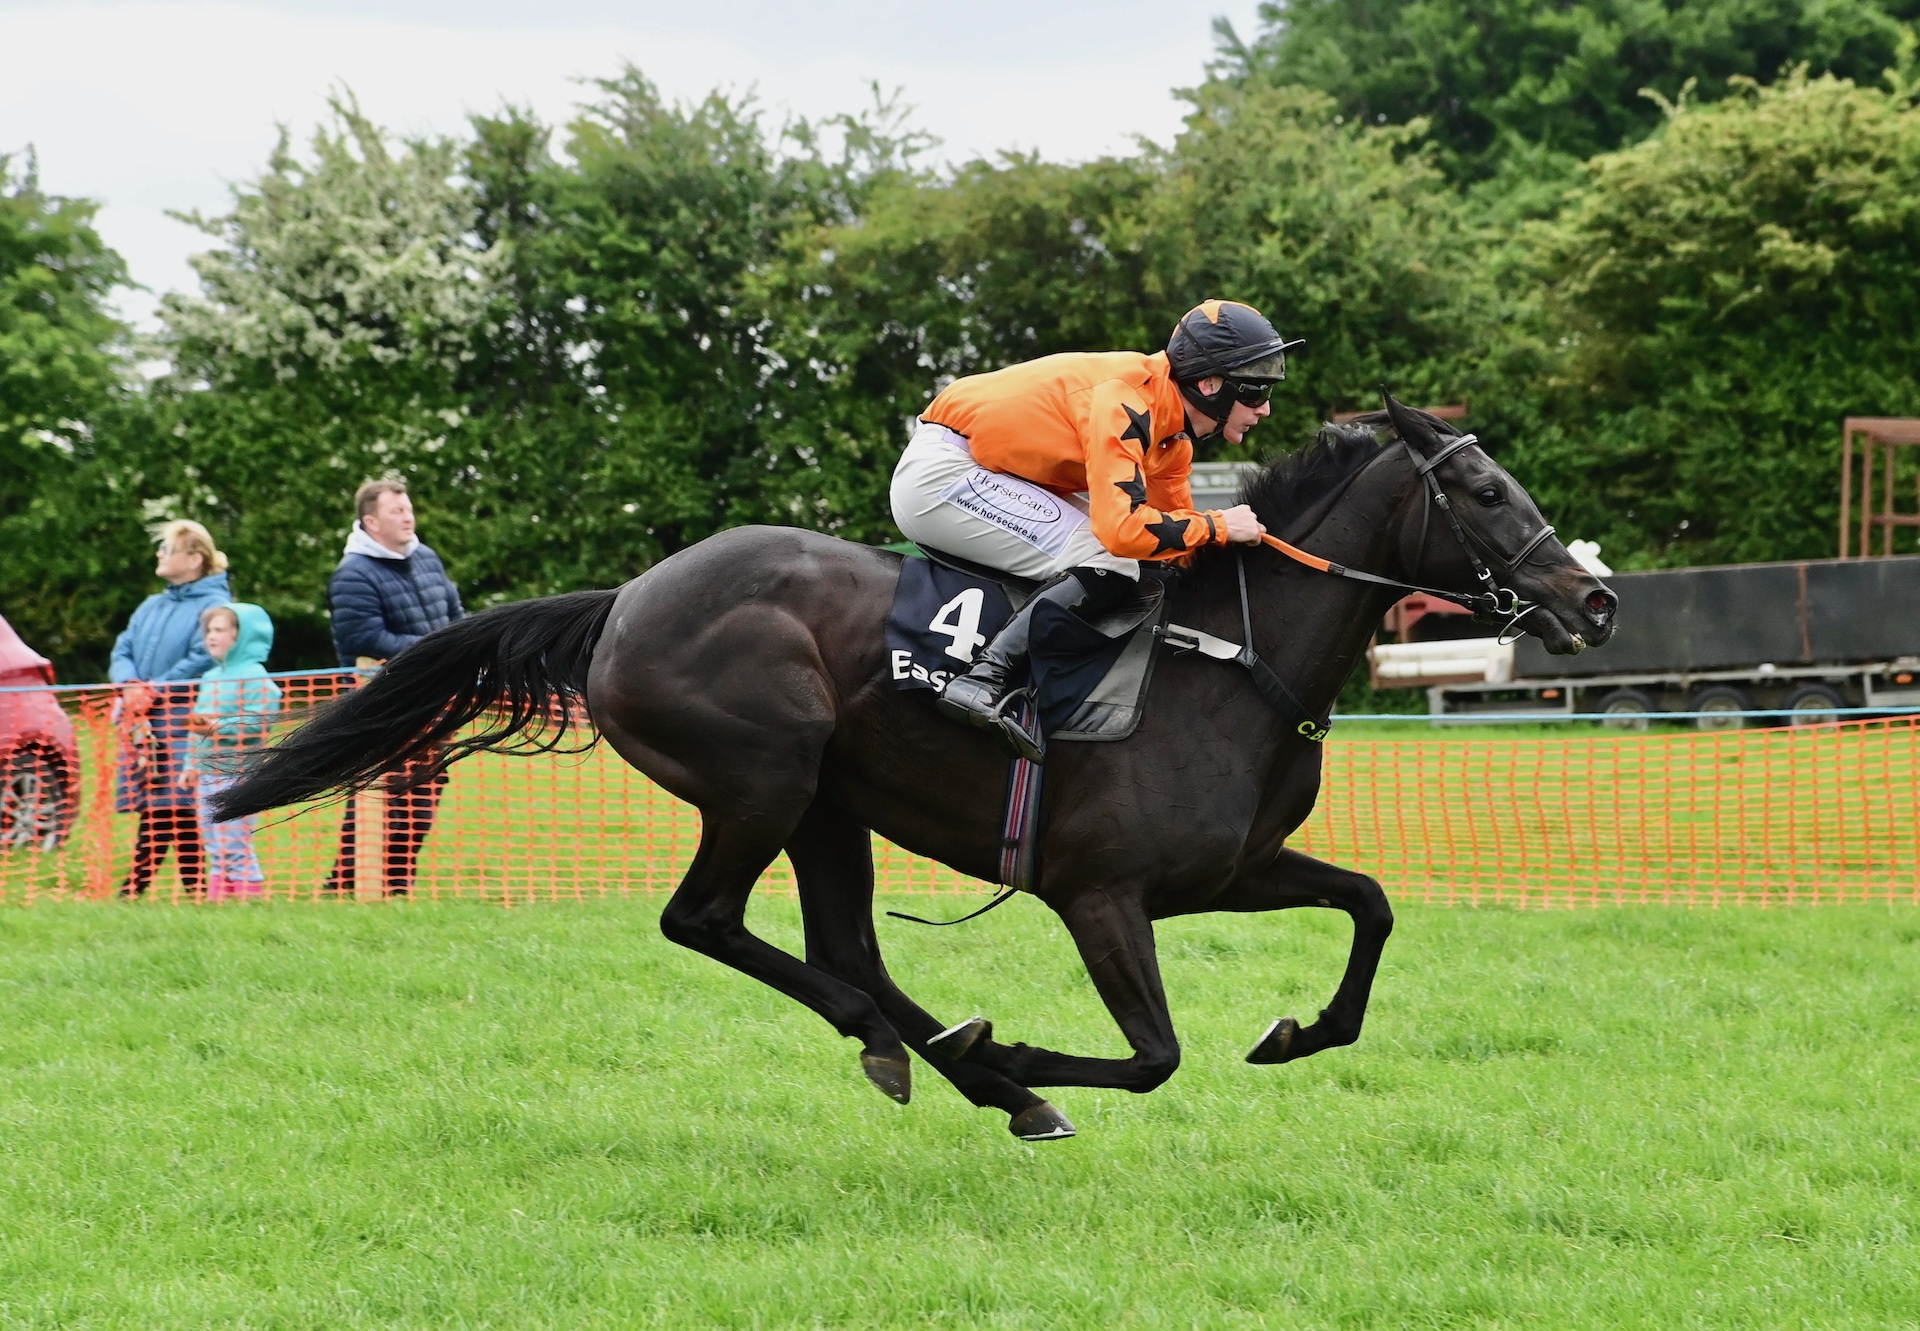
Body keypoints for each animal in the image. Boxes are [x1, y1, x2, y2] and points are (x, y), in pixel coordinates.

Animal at [217, 395, 1617, 1141]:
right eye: (1485, 489)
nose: (1593, 599)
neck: (1229, 656)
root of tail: (627, 599)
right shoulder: (1100, 891)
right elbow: (1153, 1053)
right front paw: (1031, 1055)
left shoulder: (1227, 870)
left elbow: (1369, 905)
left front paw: (1294, 1031)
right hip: (764, 775)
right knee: (708, 921)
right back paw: (964, 1061)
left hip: (831, 807)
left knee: (846, 949)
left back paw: (941, 1056)